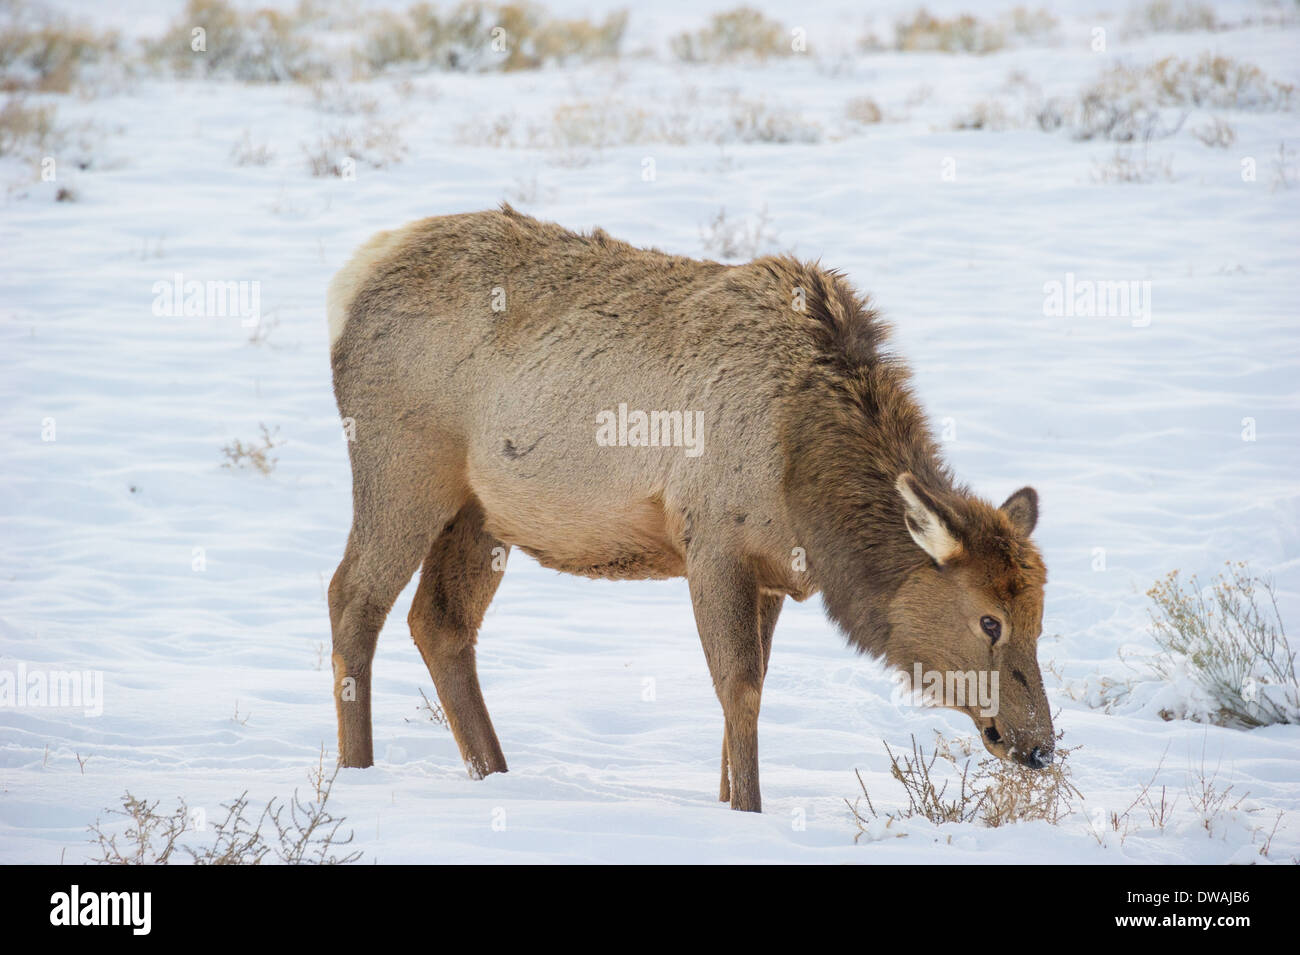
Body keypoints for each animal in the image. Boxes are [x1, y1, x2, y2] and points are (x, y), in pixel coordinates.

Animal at [326, 204, 1053, 813]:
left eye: (1039, 619)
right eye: (989, 621)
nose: (1041, 745)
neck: (805, 478)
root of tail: (352, 279)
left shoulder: (772, 571)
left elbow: (752, 688)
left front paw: (729, 800)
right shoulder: (713, 541)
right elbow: (740, 687)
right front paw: (748, 810)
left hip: (482, 512)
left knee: (439, 622)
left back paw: (496, 773)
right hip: (402, 466)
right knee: (352, 597)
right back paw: (357, 771)